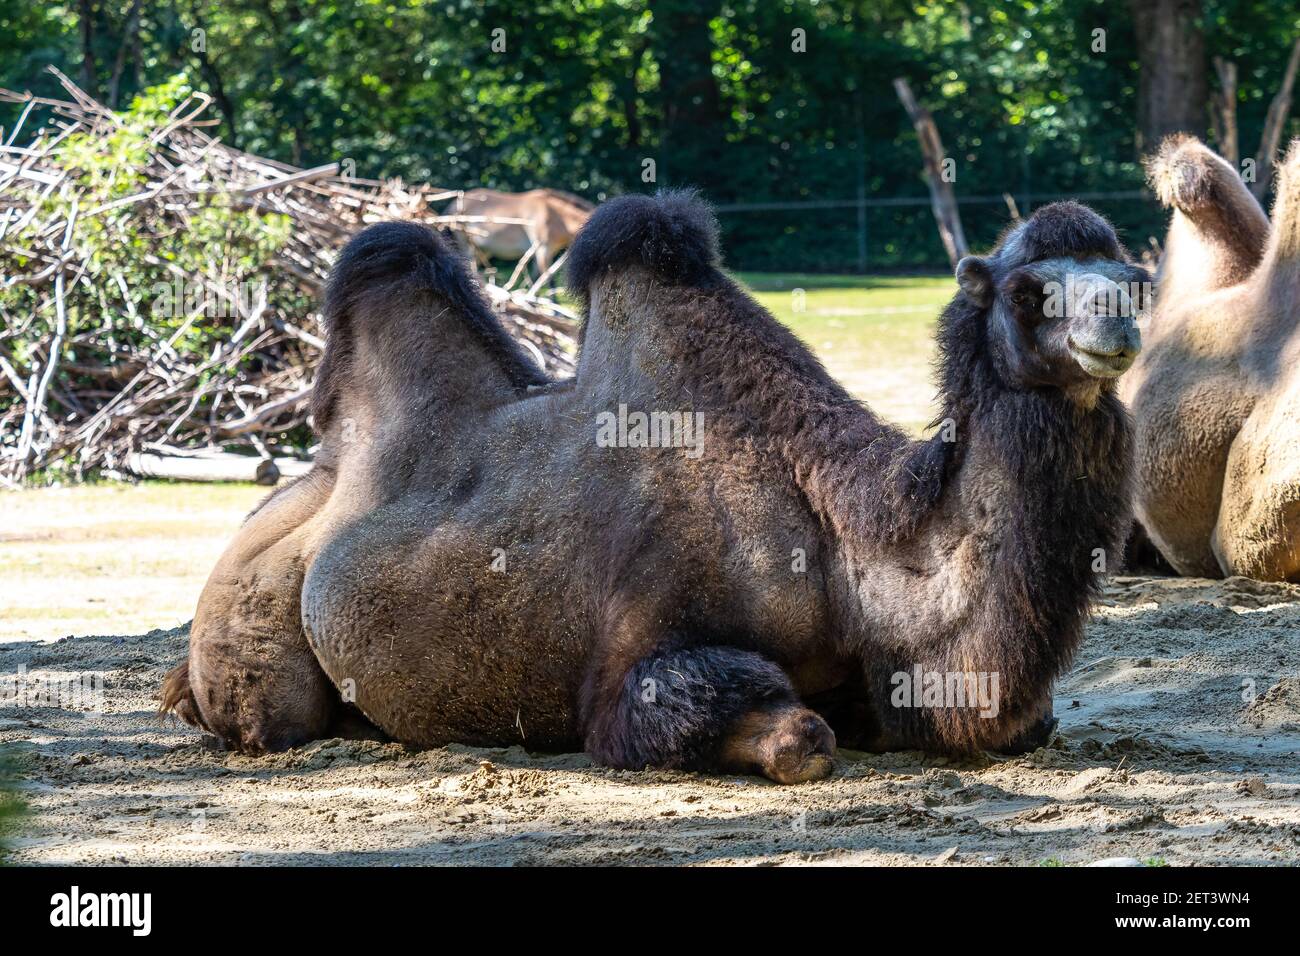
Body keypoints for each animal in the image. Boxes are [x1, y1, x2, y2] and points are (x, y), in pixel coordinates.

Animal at [448, 188, 593, 284]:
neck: (555, 215)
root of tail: (453, 206)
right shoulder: (543, 249)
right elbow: (548, 280)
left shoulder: (543, 252)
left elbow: (536, 279)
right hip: (465, 245)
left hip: (482, 251)